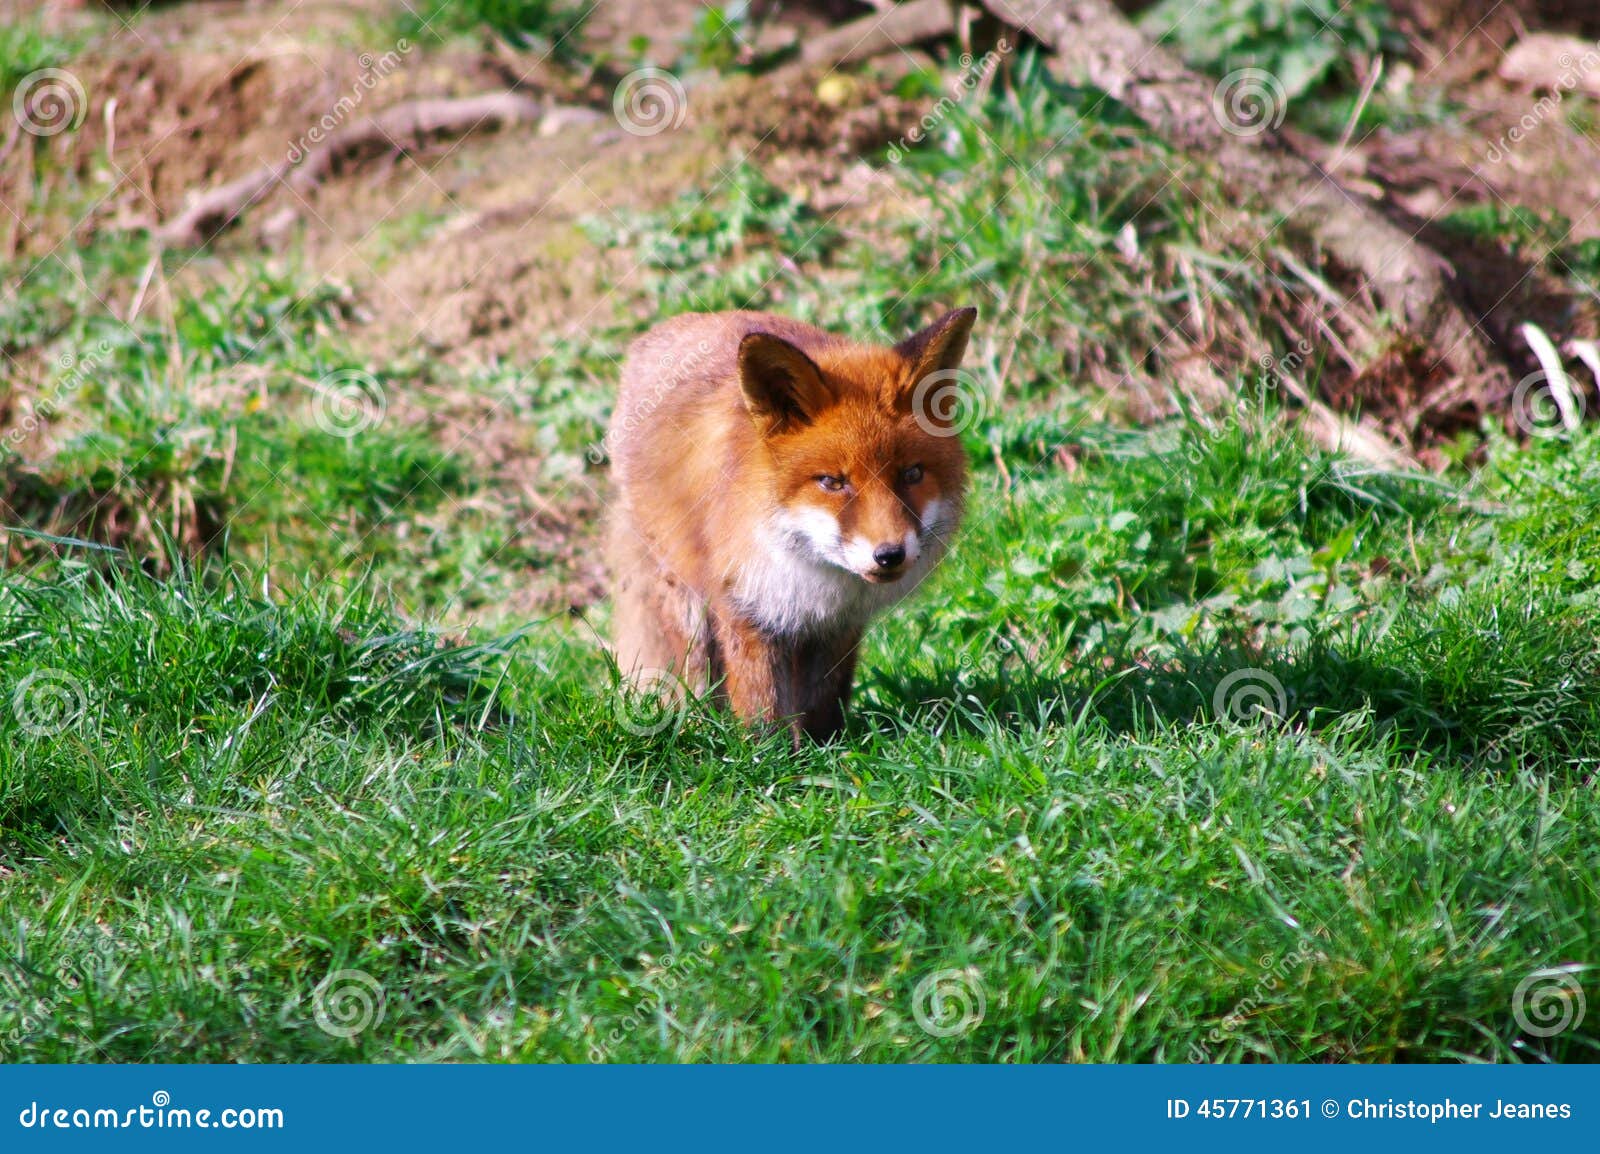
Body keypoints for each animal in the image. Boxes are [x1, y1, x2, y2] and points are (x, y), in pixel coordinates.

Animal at [605, 306, 977, 743]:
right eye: (832, 482)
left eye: (912, 474)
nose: (889, 555)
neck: (812, 569)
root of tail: (674, 325)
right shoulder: (746, 605)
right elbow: (762, 707)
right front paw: (768, 755)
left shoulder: (835, 624)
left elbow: (822, 702)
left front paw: (826, 749)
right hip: (685, 599)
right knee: (694, 677)